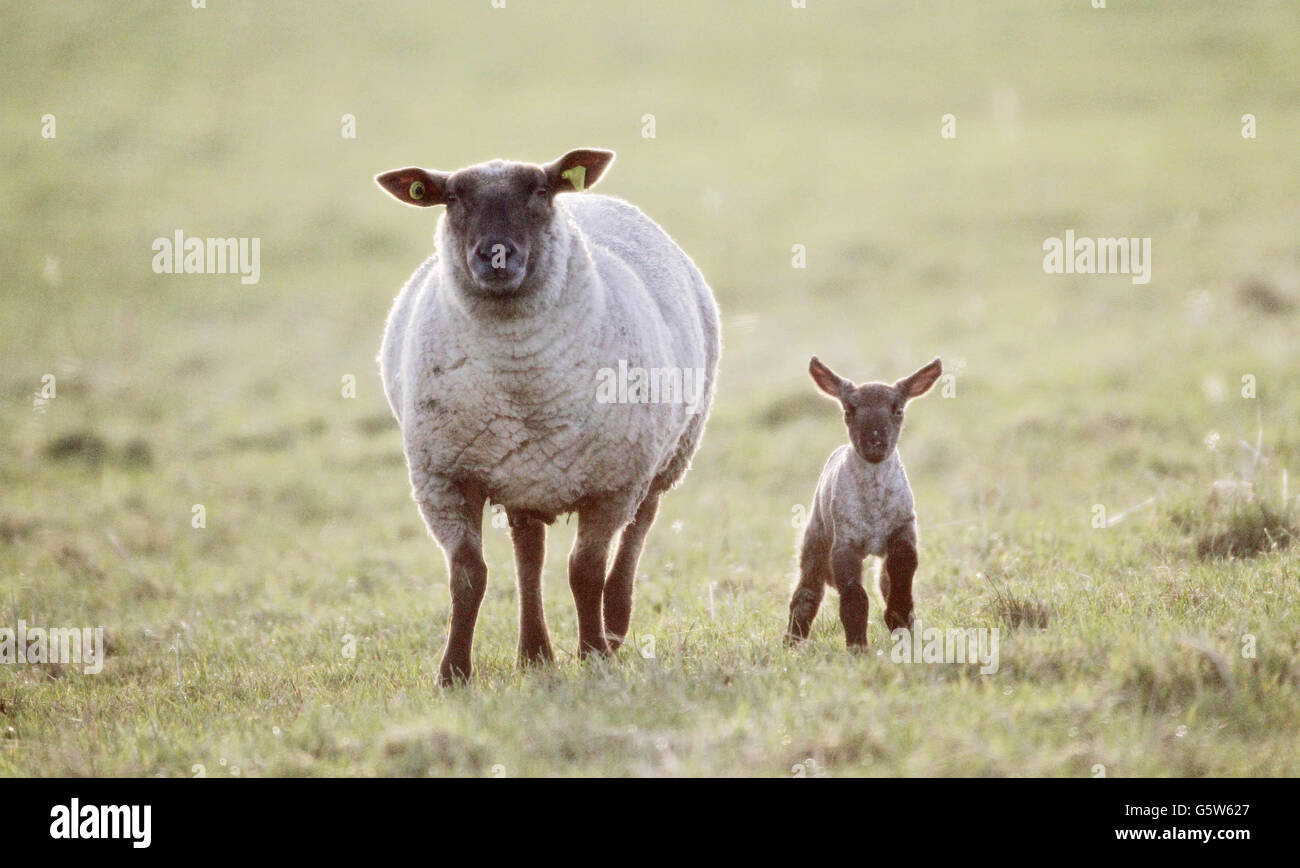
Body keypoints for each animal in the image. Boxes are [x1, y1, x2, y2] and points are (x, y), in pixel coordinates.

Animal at [374, 148, 720, 684]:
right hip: (523, 474)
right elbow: (468, 577)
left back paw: (614, 620)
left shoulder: (612, 483)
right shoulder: (443, 480)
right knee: (529, 553)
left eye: (540, 191)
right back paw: (535, 653)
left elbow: (585, 571)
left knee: (640, 524)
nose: (495, 256)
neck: (520, 373)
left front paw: (595, 654)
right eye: (452, 198)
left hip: (666, 454)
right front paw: (453, 674)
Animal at [785, 356, 942, 649]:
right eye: (849, 411)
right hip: (816, 536)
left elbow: (901, 574)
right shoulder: (845, 543)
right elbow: (854, 596)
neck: (874, 504)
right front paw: (858, 646)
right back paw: (792, 644)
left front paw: (898, 617)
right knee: (806, 593)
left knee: (884, 581)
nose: (874, 443)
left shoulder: (903, 530)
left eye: (898, 410)